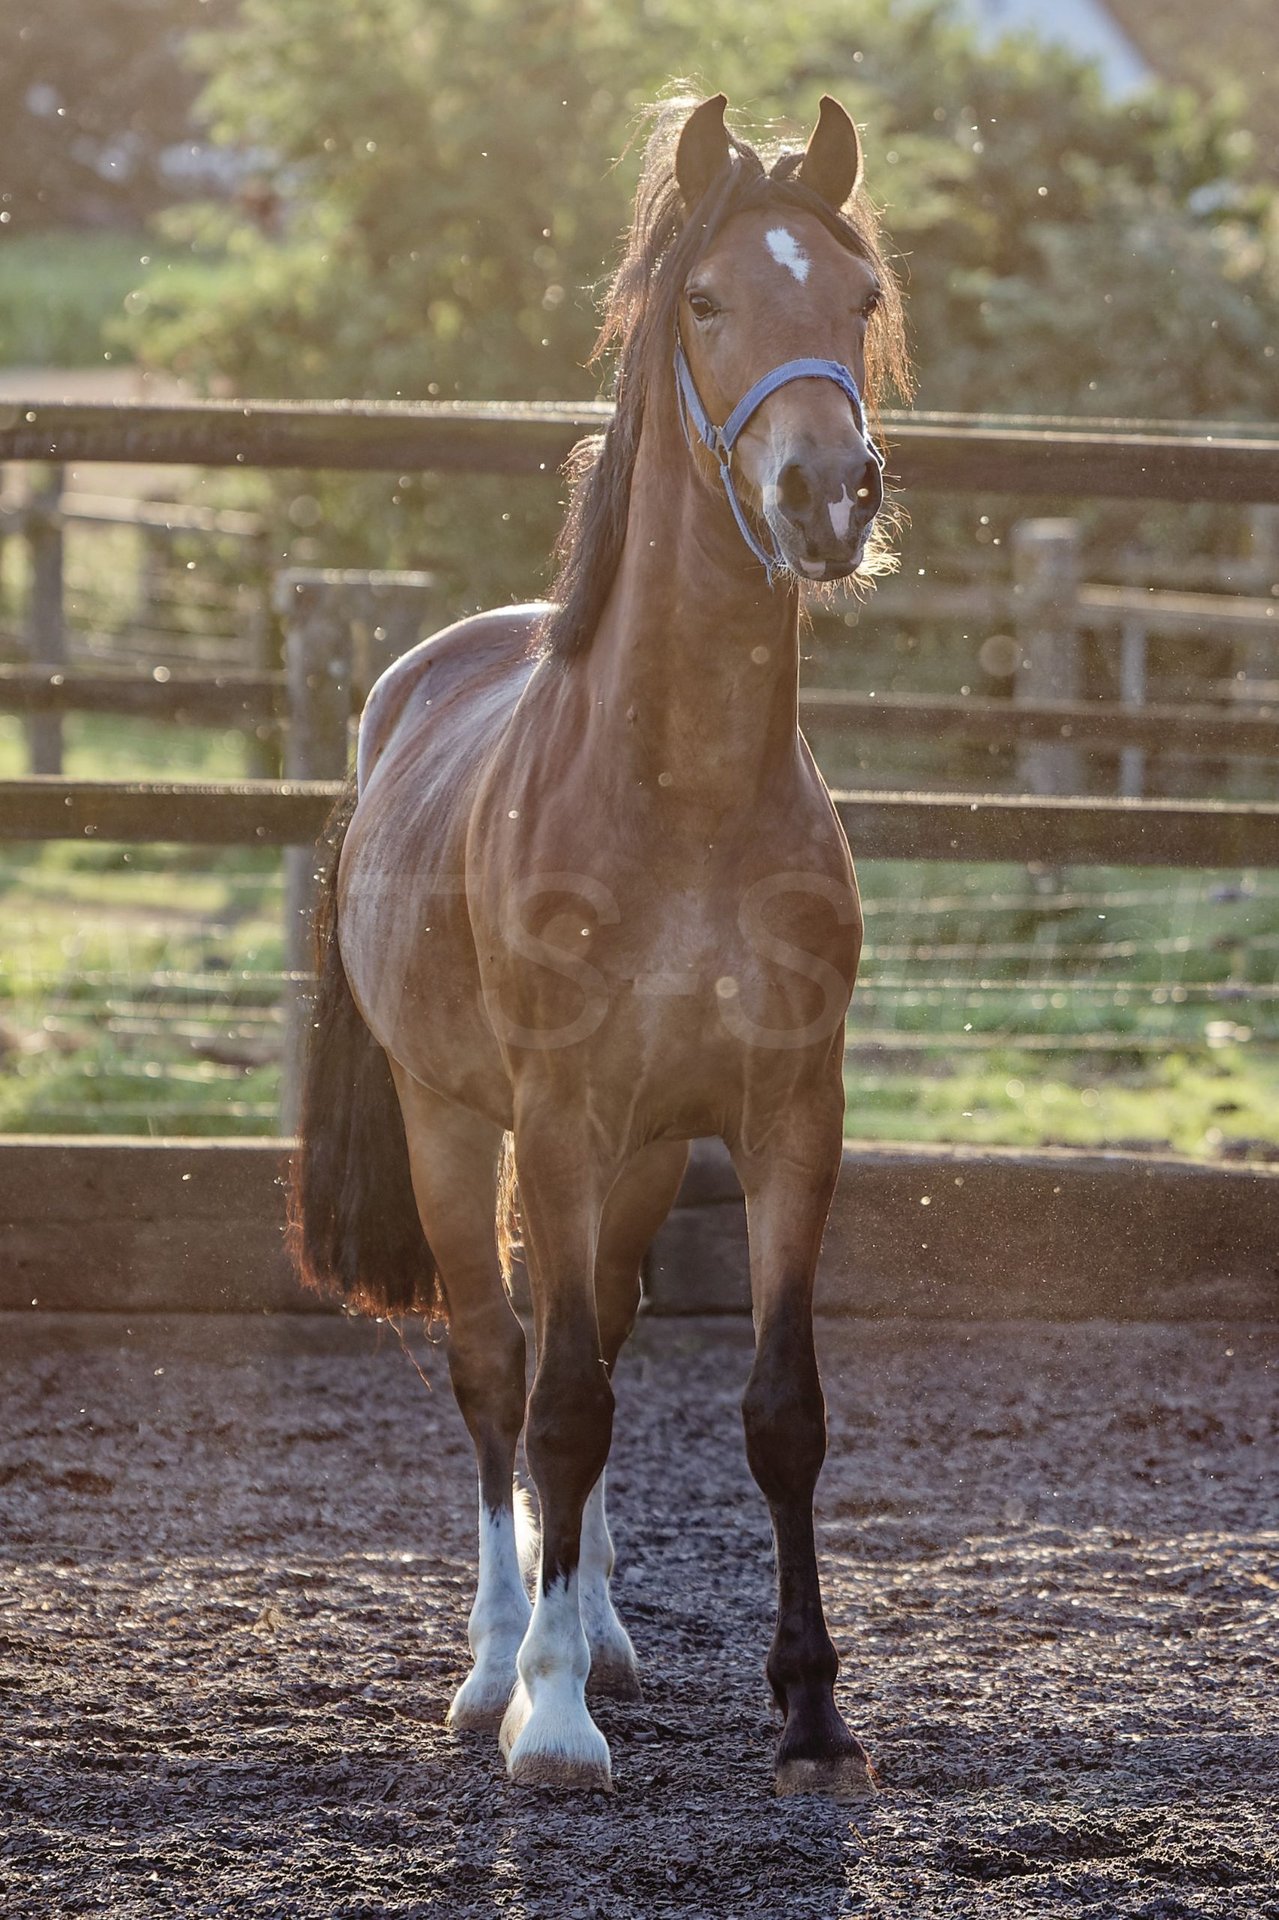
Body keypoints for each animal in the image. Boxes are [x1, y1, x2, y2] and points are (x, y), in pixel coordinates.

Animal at [289, 91, 910, 1796]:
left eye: (857, 300)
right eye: (703, 302)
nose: (824, 495)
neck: (682, 788)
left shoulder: (785, 1114)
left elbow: (776, 1411)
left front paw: (811, 1712)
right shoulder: (554, 1116)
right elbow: (554, 1404)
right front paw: (549, 1718)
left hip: (634, 1158)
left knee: (602, 1342)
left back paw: (603, 1628)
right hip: (456, 1127)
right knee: (499, 1365)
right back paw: (501, 1660)